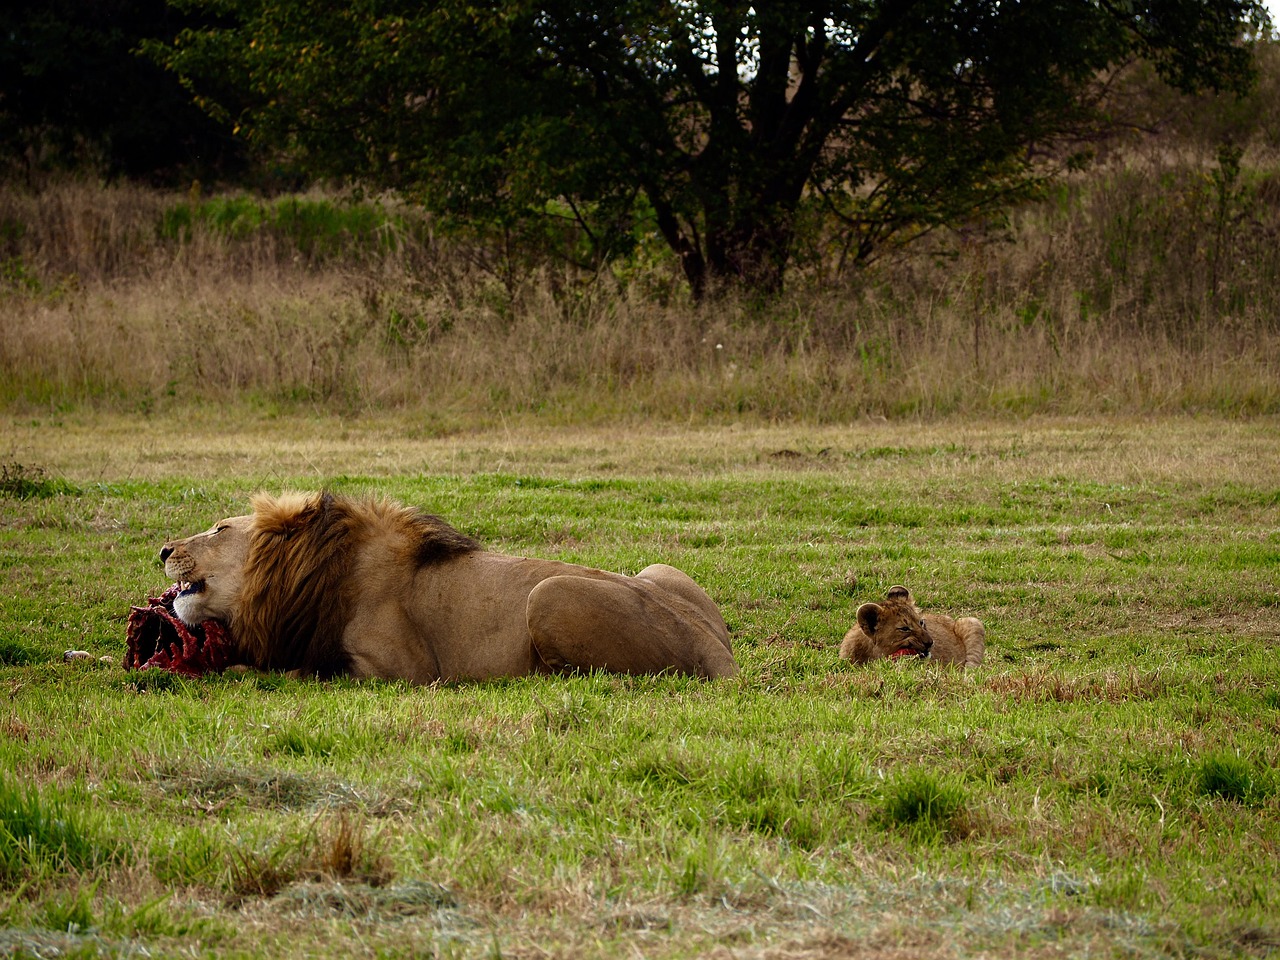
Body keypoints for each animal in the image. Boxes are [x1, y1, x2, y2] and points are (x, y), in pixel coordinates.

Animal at [158, 491, 739, 682]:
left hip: (547, 595)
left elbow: (298, 672)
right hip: (661, 569)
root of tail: (716, 649)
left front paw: (233, 669)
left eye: (219, 529)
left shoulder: (399, 672)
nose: (163, 550)